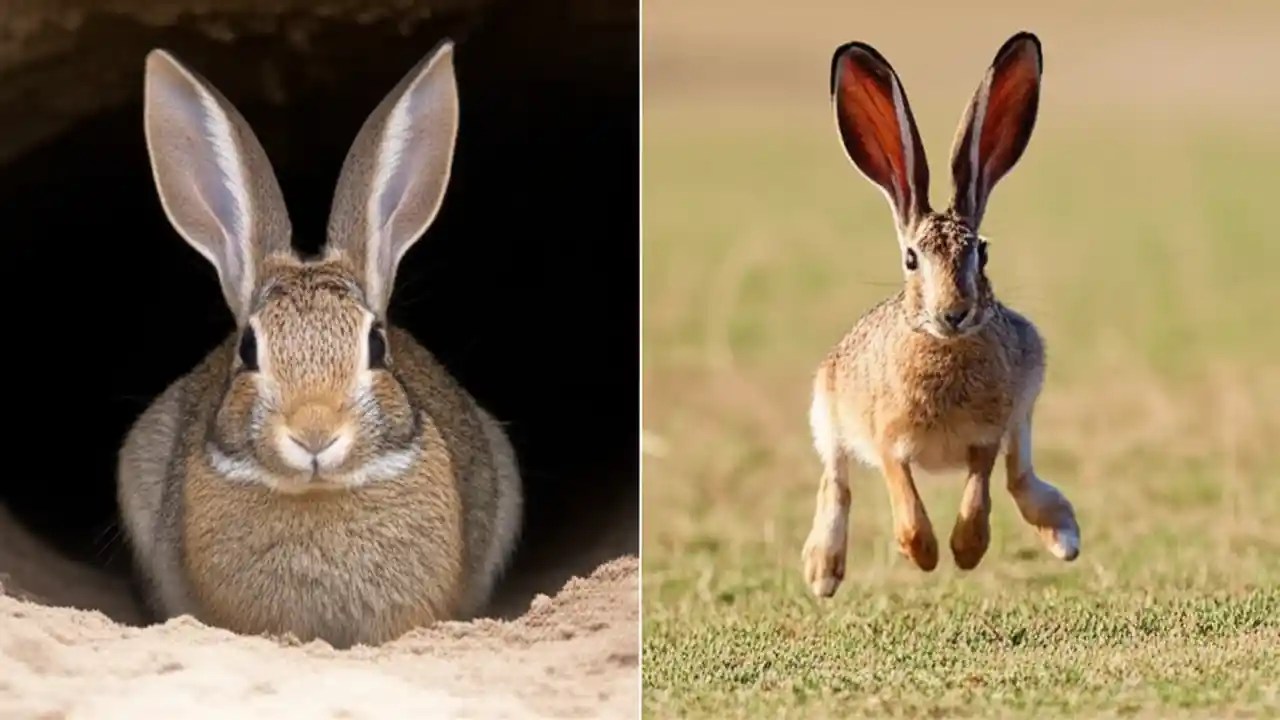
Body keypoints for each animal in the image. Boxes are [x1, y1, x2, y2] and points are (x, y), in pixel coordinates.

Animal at [800, 31, 1080, 597]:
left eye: (983, 253)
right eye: (911, 259)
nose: (955, 312)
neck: (944, 349)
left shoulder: (988, 434)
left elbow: (980, 488)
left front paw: (965, 551)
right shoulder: (886, 439)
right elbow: (903, 500)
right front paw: (925, 554)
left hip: (1025, 406)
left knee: (1020, 475)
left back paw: (1063, 534)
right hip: (828, 407)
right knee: (835, 482)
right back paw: (823, 570)